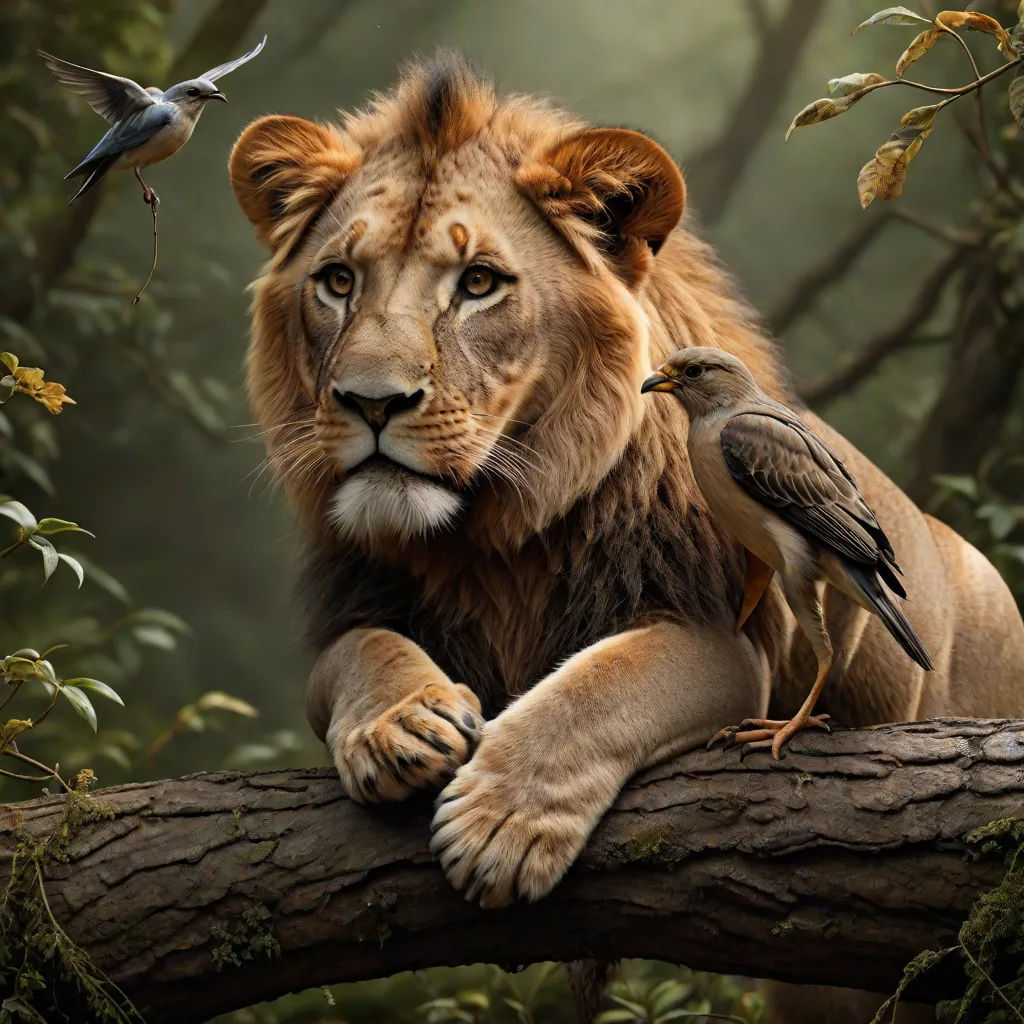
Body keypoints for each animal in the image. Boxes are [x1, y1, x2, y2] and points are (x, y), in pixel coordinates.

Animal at [229, 53, 1024, 1021]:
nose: (371, 403)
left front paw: (499, 824)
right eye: (338, 280)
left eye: (479, 282)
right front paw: (401, 726)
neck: (489, 537)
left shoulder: (729, 642)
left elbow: (595, 689)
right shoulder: (363, 605)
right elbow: (357, 655)